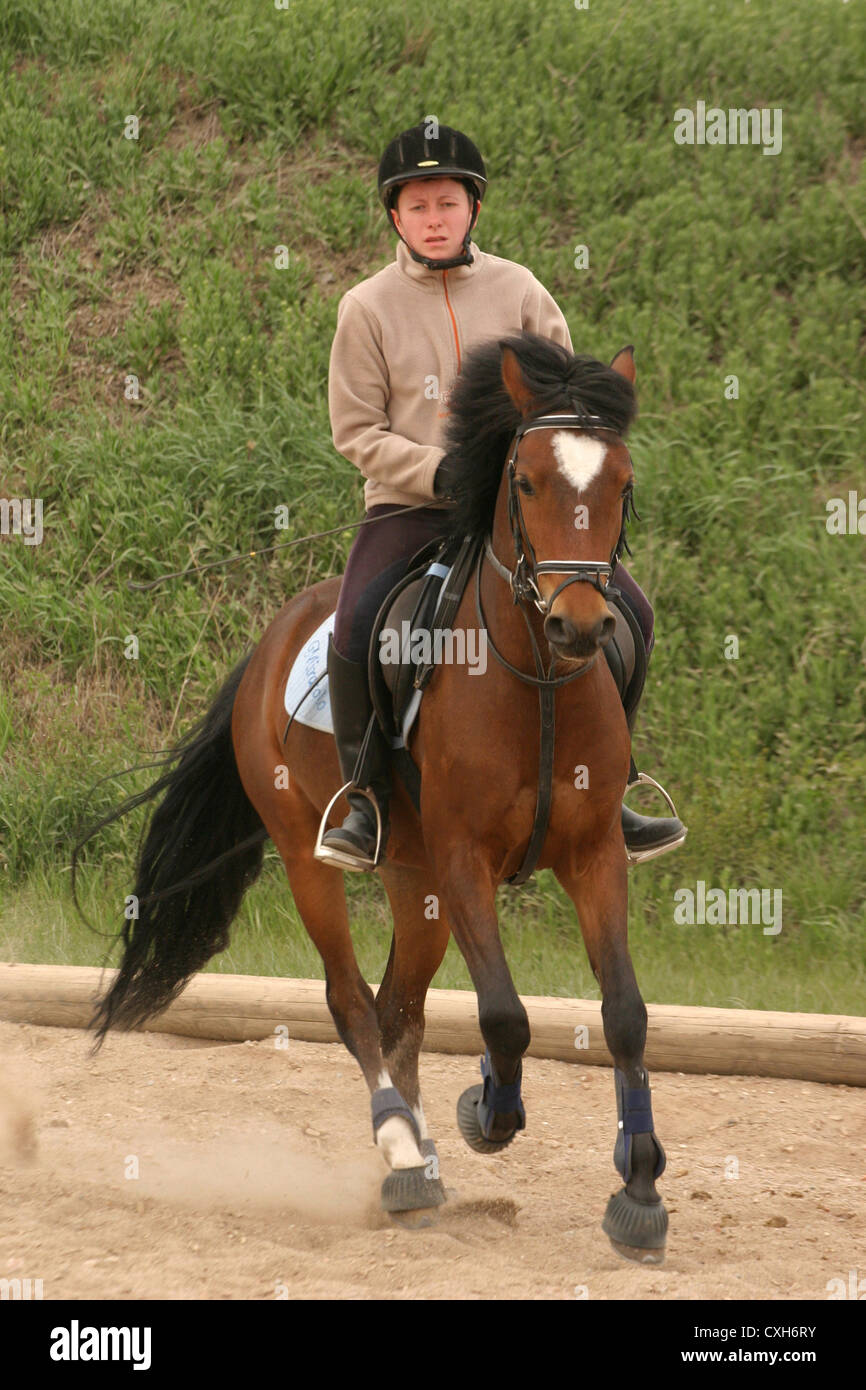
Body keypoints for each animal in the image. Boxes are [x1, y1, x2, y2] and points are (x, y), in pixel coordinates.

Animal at [80, 331, 669, 1262]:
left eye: (620, 483)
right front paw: (486, 1113)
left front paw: (640, 1189)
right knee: (352, 1002)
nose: (580, 625)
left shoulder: (593, 854)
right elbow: (504, 1016)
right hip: (312, 858)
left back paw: (420, 1165)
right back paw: (400, 1147)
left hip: (415, 880)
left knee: (401, 1010)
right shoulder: (465, 860)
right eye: (527, 482)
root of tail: (272, 638)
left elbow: (625, 1014)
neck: (536, 678)